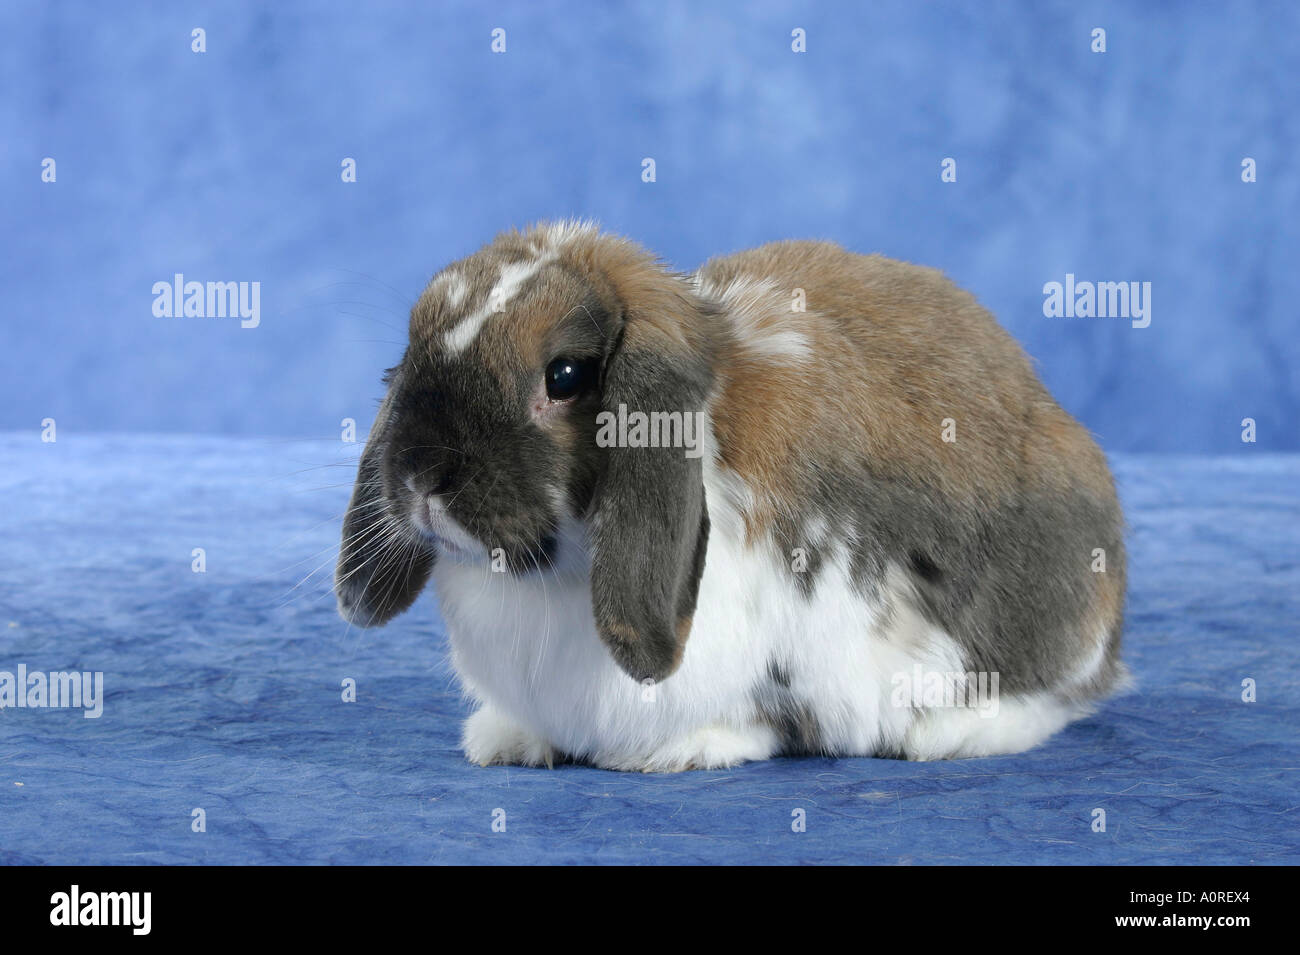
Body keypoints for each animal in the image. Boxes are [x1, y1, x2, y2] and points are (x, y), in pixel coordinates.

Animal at [335, 221, 1128, 772]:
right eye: (415, 345)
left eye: (563, 375)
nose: (420, 478)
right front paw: (505, 740)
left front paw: (682, 750)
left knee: (1057, 695)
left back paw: (950, 733)